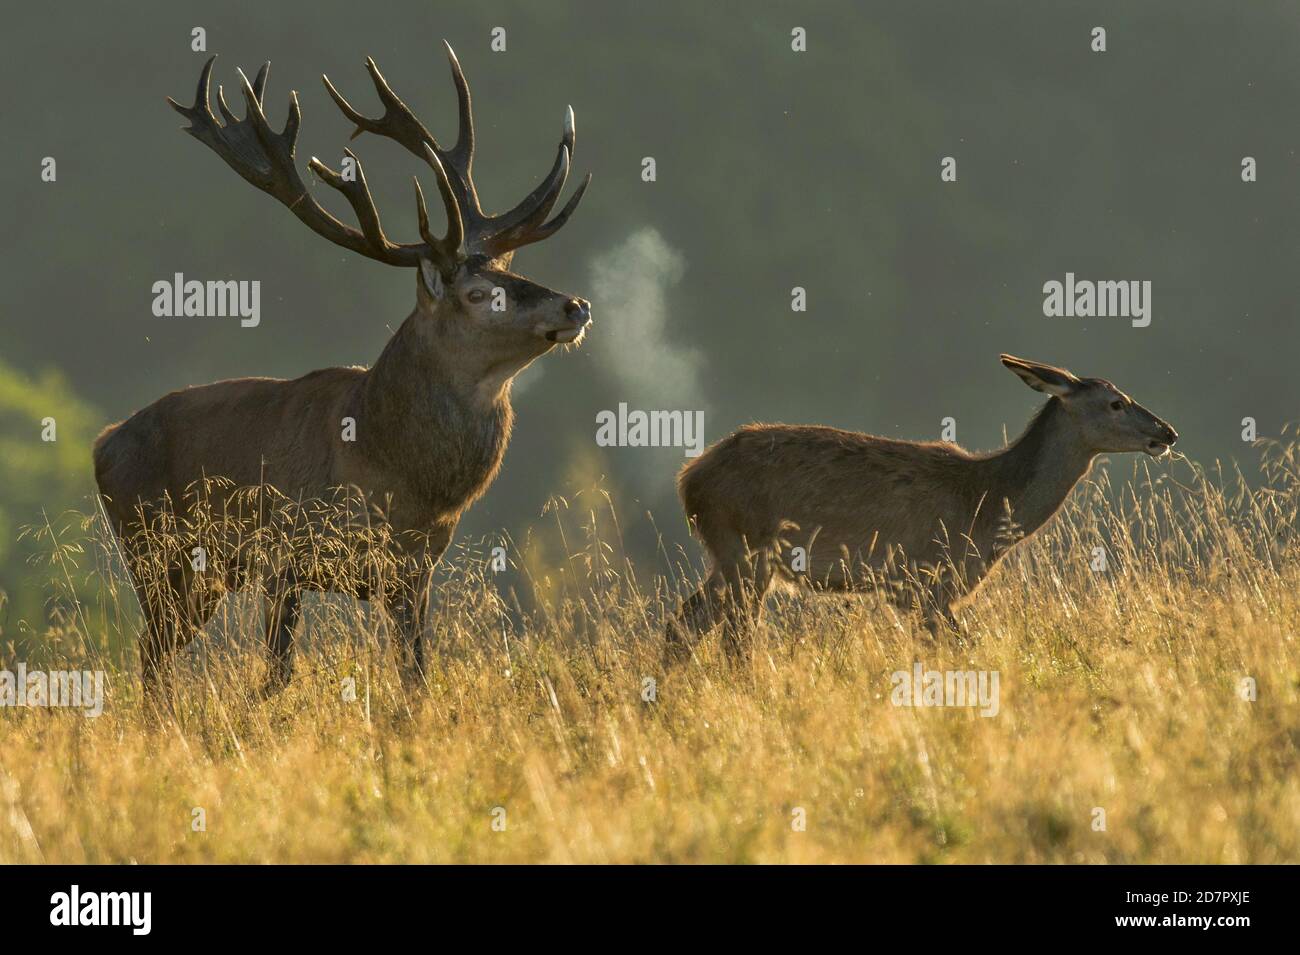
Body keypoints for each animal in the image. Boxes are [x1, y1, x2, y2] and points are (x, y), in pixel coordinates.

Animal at [93, 43, 592, 699]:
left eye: (511, 270)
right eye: (481, 293)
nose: (575, 305)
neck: (392, 475)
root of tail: (102, 444)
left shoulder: (414, 570)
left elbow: (415, 675)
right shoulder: (282, 550)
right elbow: (277, 673)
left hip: (200, 575)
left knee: (156, 655)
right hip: (153, 548)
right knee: (151, 657)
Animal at [664, 355, 1178, 663]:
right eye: (1115, 402)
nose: (1168, 431)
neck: (986, 504)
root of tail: (689, 480)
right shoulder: (922, 582)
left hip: (733, 558)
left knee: (683, 624)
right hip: (744, 548)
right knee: (730, 640)